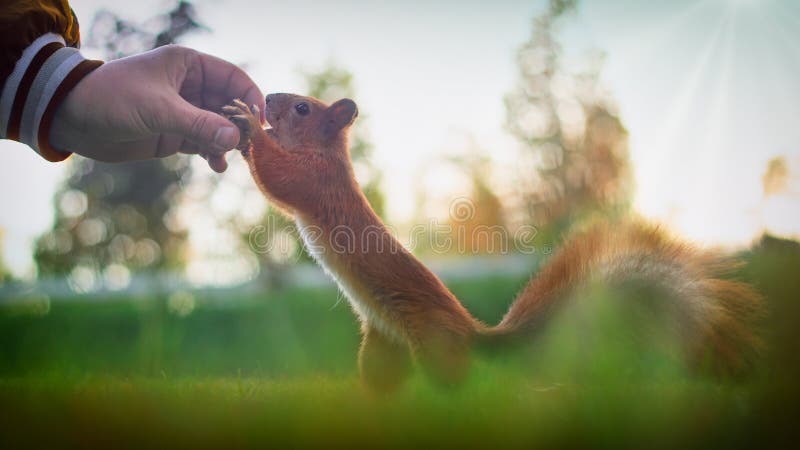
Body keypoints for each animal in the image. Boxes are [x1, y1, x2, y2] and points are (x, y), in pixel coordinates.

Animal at [222, 95, 762, 391]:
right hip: (381, 348)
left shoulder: (316, 181)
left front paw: (247, 122)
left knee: (456, 387)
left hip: (433, 346)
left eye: (302, 107)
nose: (269, 97)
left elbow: (279, 179)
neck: (328, 153)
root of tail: (472, 336)